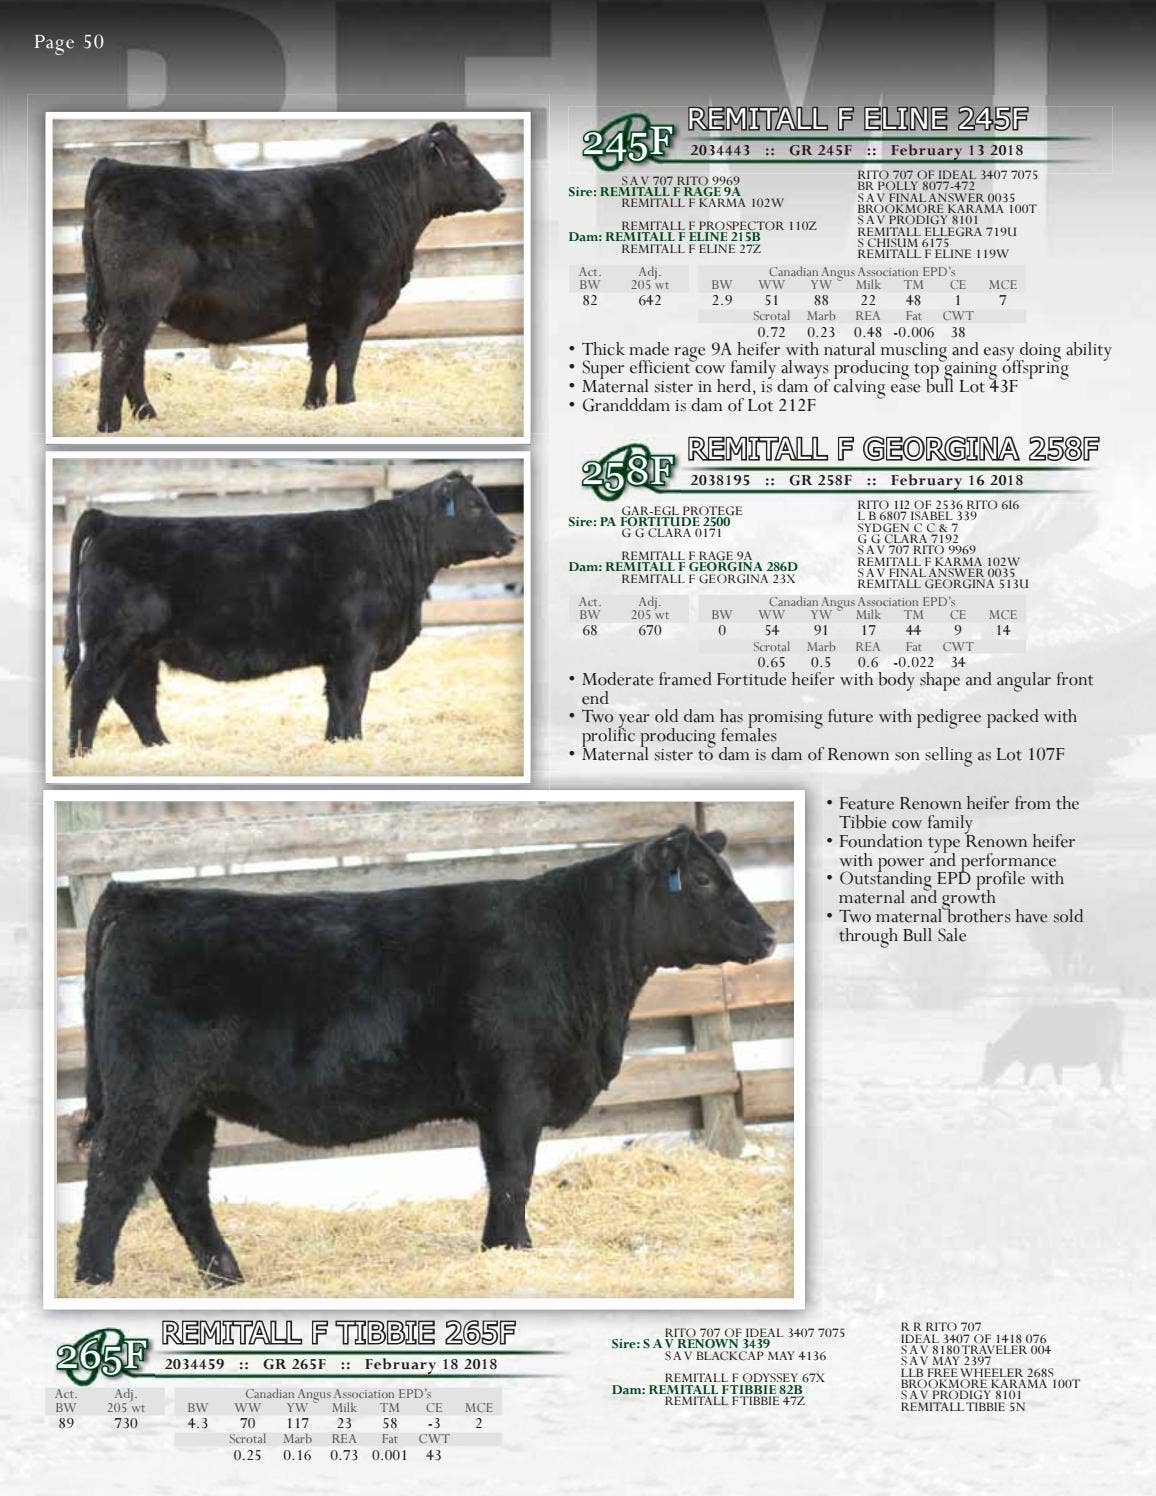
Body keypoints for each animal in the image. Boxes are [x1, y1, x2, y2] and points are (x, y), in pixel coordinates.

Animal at [63, 471, 516, 755]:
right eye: (475, 506)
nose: (512, 537)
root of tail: (110, 519)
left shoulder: (338, 654)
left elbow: (335, 702)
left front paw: (336, 745)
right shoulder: (357, 646)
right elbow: (353, 698)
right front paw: (353, 743)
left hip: (142, 649)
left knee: (135, 697)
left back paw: (161, 750)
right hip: (113, 640)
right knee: (89, 690)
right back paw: (81, 755)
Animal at [72, 826, 776, 1286]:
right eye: (704, 879)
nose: (769, 934)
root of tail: (136, 895)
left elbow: (505, 1175)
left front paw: (498, 1249)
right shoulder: (514, 1089)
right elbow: (513, 1172)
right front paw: (513, 1250)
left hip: (191, 1101)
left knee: (182, 1179)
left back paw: (226, 1274)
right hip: (148, 1088)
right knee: (114, 1173)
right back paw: (94, 1278)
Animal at [81, 122, 507, 432]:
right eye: (462, 159)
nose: (502, 192)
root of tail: (116, 167)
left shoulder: (322, 309)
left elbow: (320, 357)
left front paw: (314, 404)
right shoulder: (357, 302)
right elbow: (347, 357)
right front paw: (348, 403)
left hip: (137, 306)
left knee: (134, 357)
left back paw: (147, 416)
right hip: (138, 300)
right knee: (119, 354)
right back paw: (110, 425)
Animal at [980, 1001, 1123, 1089]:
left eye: (988, 1061)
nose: (983, 1081)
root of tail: (1112, 1006)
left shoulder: (1031, 1061)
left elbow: (1027, 1076)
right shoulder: (1055, 1061)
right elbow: (1058, 1076)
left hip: (1104, 1053)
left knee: (1106, 1070)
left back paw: (1104, 1087)